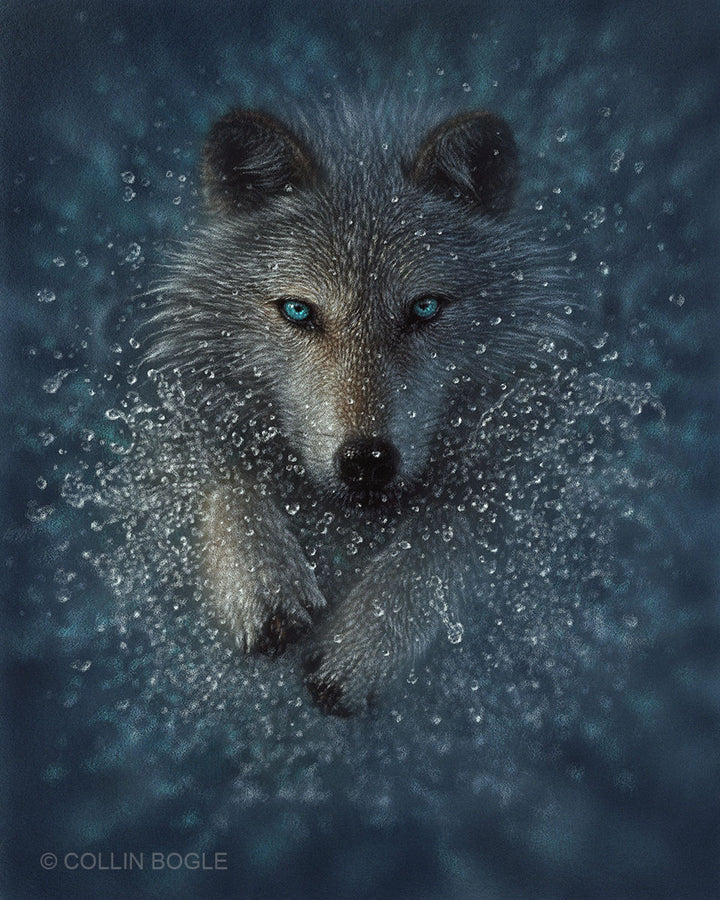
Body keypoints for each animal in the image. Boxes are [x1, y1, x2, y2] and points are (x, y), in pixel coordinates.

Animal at [147, 102, 569, 715]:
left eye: (424, 308)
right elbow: (228, 476)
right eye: (298, 311)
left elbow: (448, 528)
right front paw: (263, 582)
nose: (366, 460)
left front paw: (367, 641)